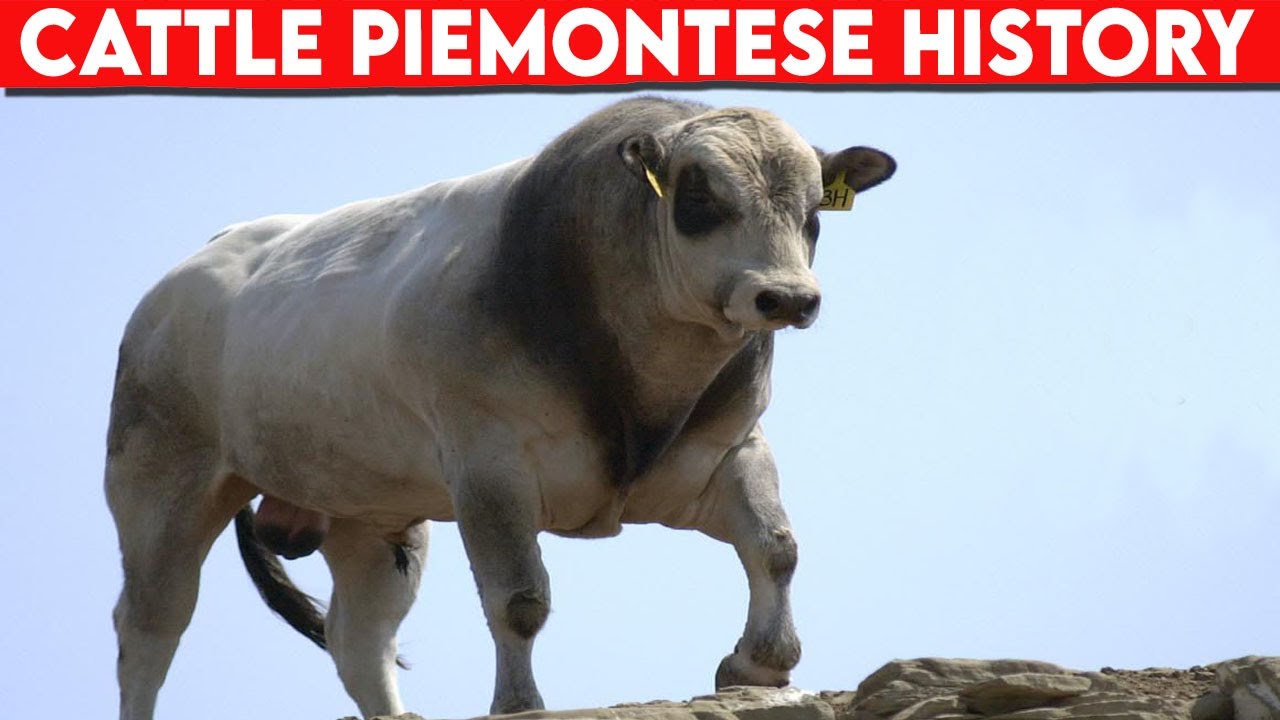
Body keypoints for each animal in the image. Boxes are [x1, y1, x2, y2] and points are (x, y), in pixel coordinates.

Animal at [105, 96, 895, 720]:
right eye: (701, 199)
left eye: (813, 213)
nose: (786, 298)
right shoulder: (489, 466)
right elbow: (519, 598)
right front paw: (519, 704)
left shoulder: (731, 448)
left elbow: (775, 546)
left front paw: (760, 664)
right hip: (159, 481)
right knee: (150, 625)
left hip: (368, 511)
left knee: (360, 640)